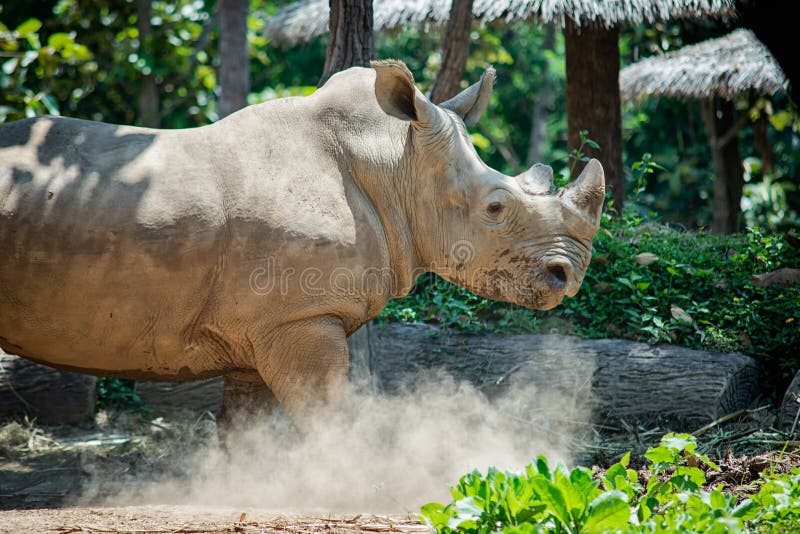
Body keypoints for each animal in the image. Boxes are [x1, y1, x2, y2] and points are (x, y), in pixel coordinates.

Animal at [0, 60, 604, 425]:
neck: (395, 162)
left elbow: (245, 433)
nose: (568, 277)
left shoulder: (259, 326)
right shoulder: (300, 317)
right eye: (496, 208)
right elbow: (330, 415)